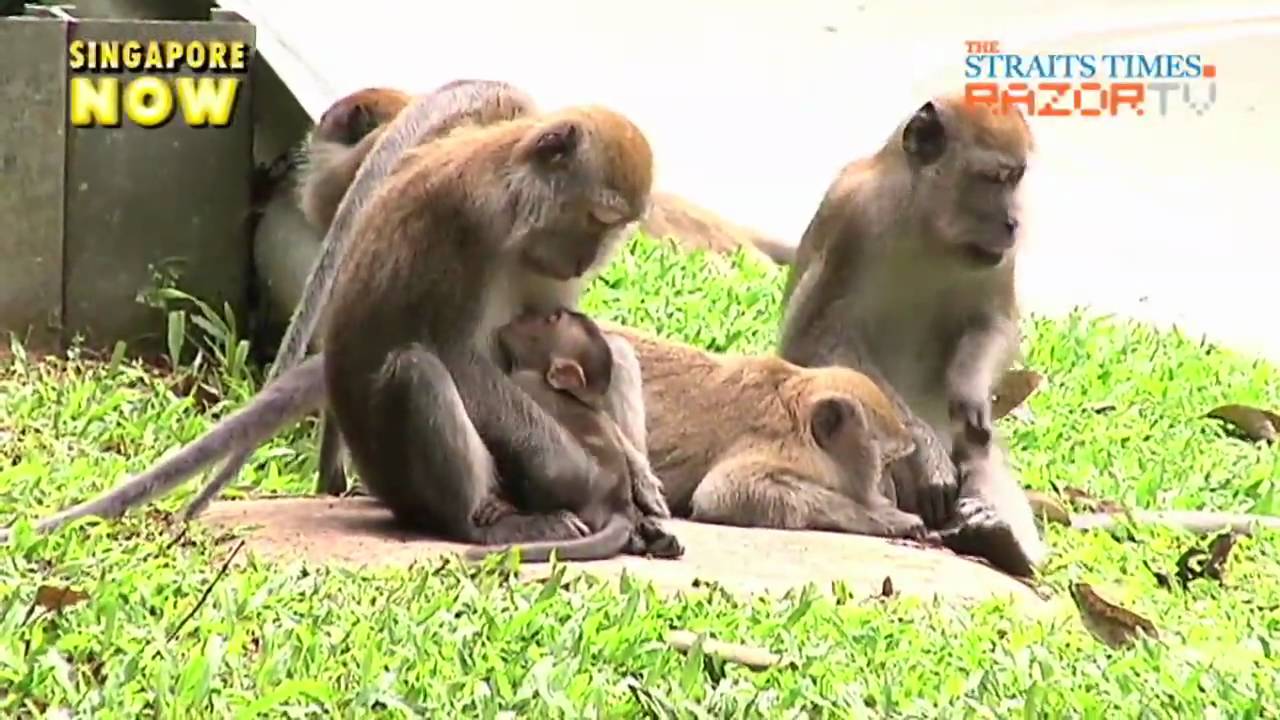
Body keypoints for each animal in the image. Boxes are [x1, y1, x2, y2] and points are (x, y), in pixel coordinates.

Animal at [320, 104, 662, 547]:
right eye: (597, 217)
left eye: (614, 228)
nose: (584, 261)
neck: (516, 203)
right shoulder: (466, 219)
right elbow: (458, 356)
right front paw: (579, 475)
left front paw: (635, 474)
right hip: (401, 486)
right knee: (417, 371)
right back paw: (483, 523)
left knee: (617, 351)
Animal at [777, 93, 1047, 576]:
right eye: (992, 178)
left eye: (1016, 179)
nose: (1014, 222)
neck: (926, 229)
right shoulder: (850, 218)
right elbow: (816, 342)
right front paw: (925, 454)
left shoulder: (1000, 259)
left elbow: (994, 323)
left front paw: (969, 392)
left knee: (979, 455)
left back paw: (996, 536)